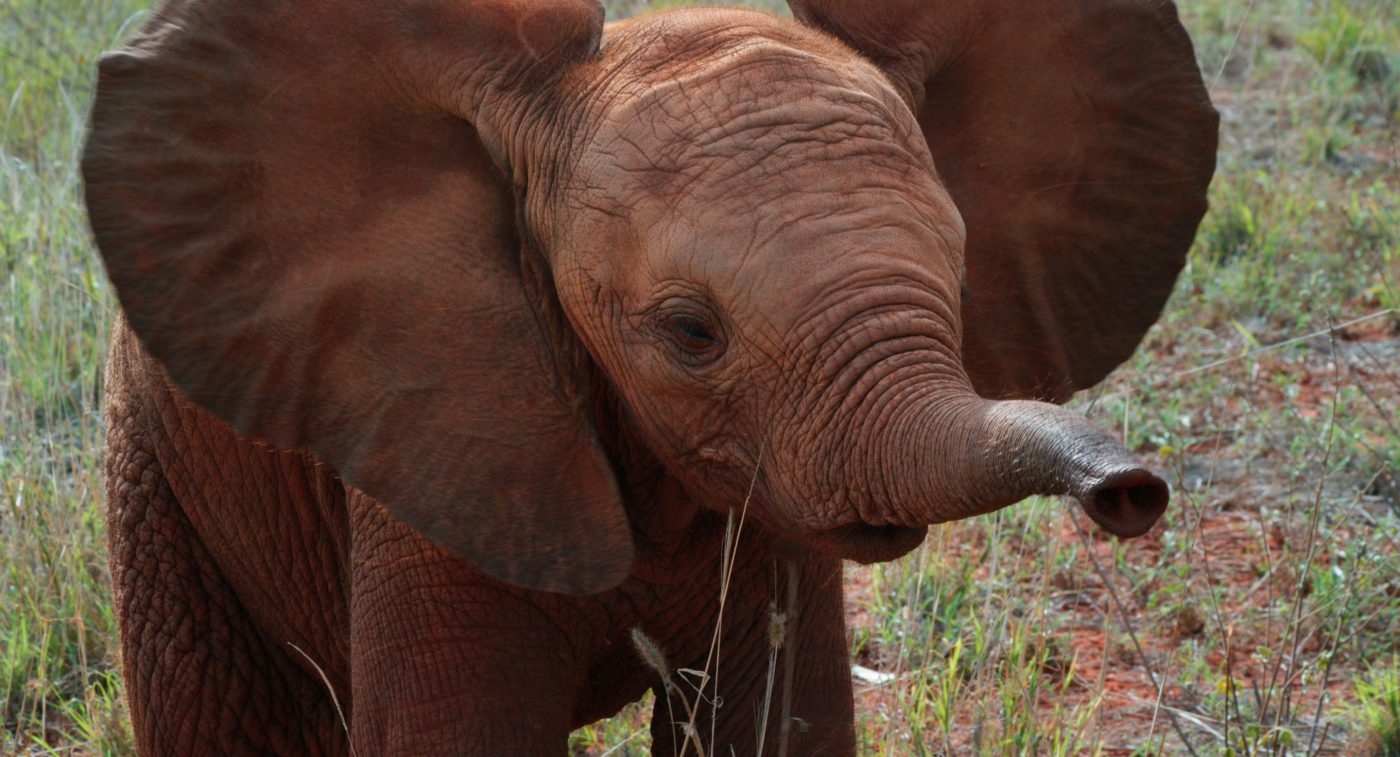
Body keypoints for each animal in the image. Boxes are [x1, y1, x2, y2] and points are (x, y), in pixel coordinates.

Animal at [81, 0, 1217, 753]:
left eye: (963, 276)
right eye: (690, 332)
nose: (1130, 494)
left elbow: (777, 725)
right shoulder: (446, 432)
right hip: (158, 467)